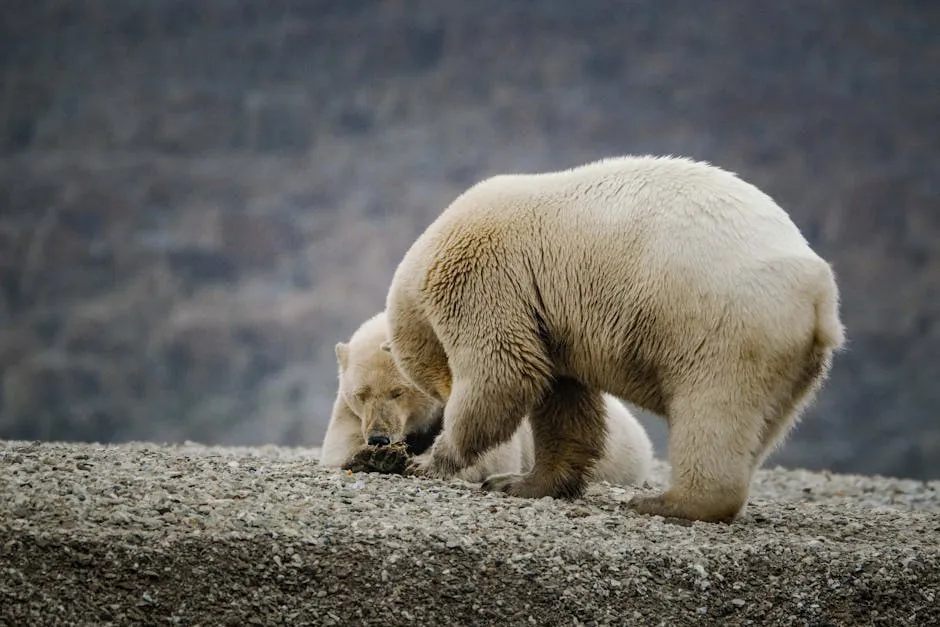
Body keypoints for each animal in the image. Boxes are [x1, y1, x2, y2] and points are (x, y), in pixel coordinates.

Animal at [318, 312, 652, 488]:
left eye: (398, 392)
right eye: (360, 394)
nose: (379, 437)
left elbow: (490, 452)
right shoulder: (348, 410)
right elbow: (338, 443)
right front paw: (376, 456)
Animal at [382, 155, 844, 524]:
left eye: (434, 384)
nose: (442, 409)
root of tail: (818, 292)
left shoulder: (487, 277)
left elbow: (505, 371)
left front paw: (431, 460)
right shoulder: (549, 319)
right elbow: (562, 399)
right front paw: (522, 482)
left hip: (723, 323)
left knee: (712, 410)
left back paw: (665, 502)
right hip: (794, 360)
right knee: (763, 423)